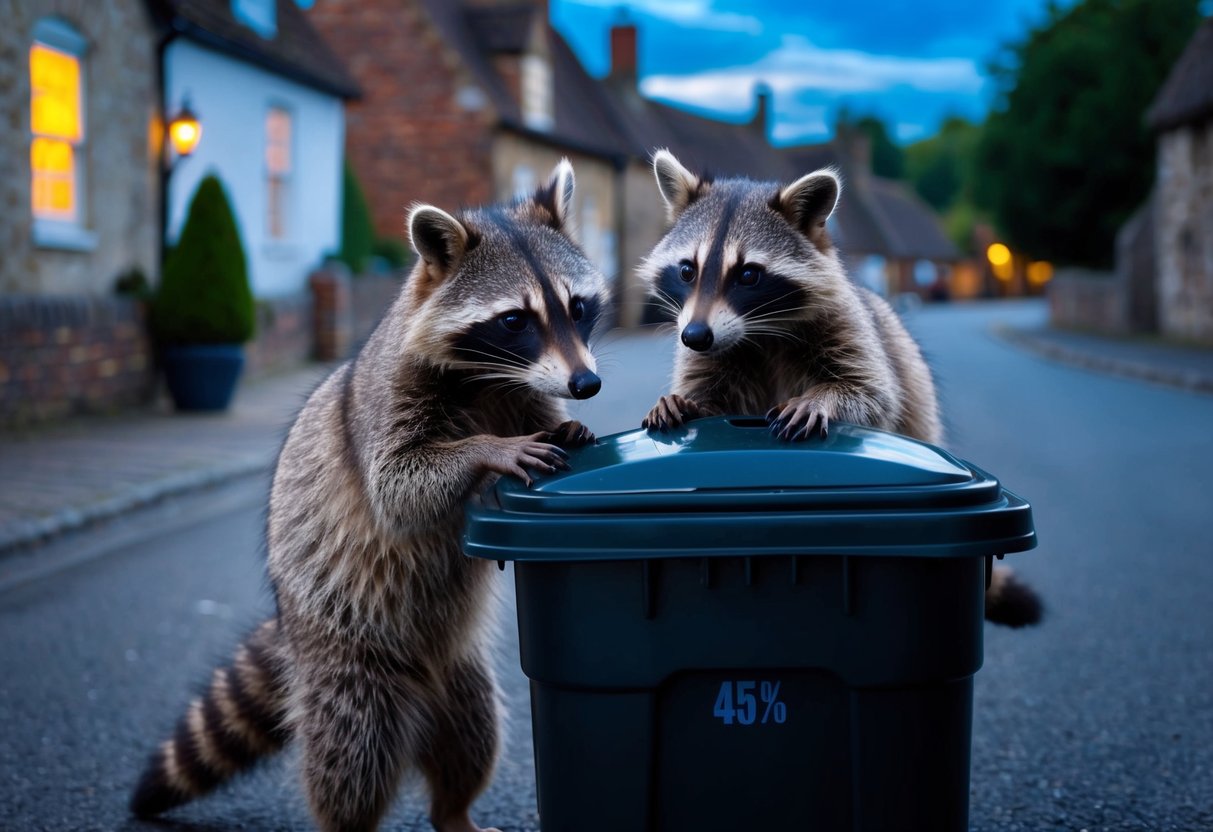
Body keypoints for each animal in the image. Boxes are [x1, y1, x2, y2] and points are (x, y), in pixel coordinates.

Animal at [130, 160, 607, 832]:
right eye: (515, 320)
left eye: (577, 306)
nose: (587, 384)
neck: (491, 379)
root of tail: (291, 627)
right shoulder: (388, 400)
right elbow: (397, 487)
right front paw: (485, 450)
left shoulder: (525, 395)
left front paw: (567, 426)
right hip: (347, 662)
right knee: (352, 752)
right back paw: (354, 818)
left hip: (458, 674)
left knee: (472, 735)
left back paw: (455, 811)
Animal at [639, 150, 1041, 628]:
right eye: (687, 270)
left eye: (749, 275)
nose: (695, 336)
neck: (757, 332)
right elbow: (708, 395)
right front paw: (684, 402)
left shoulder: (846, 326)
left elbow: (873, 393)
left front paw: (821, 400)